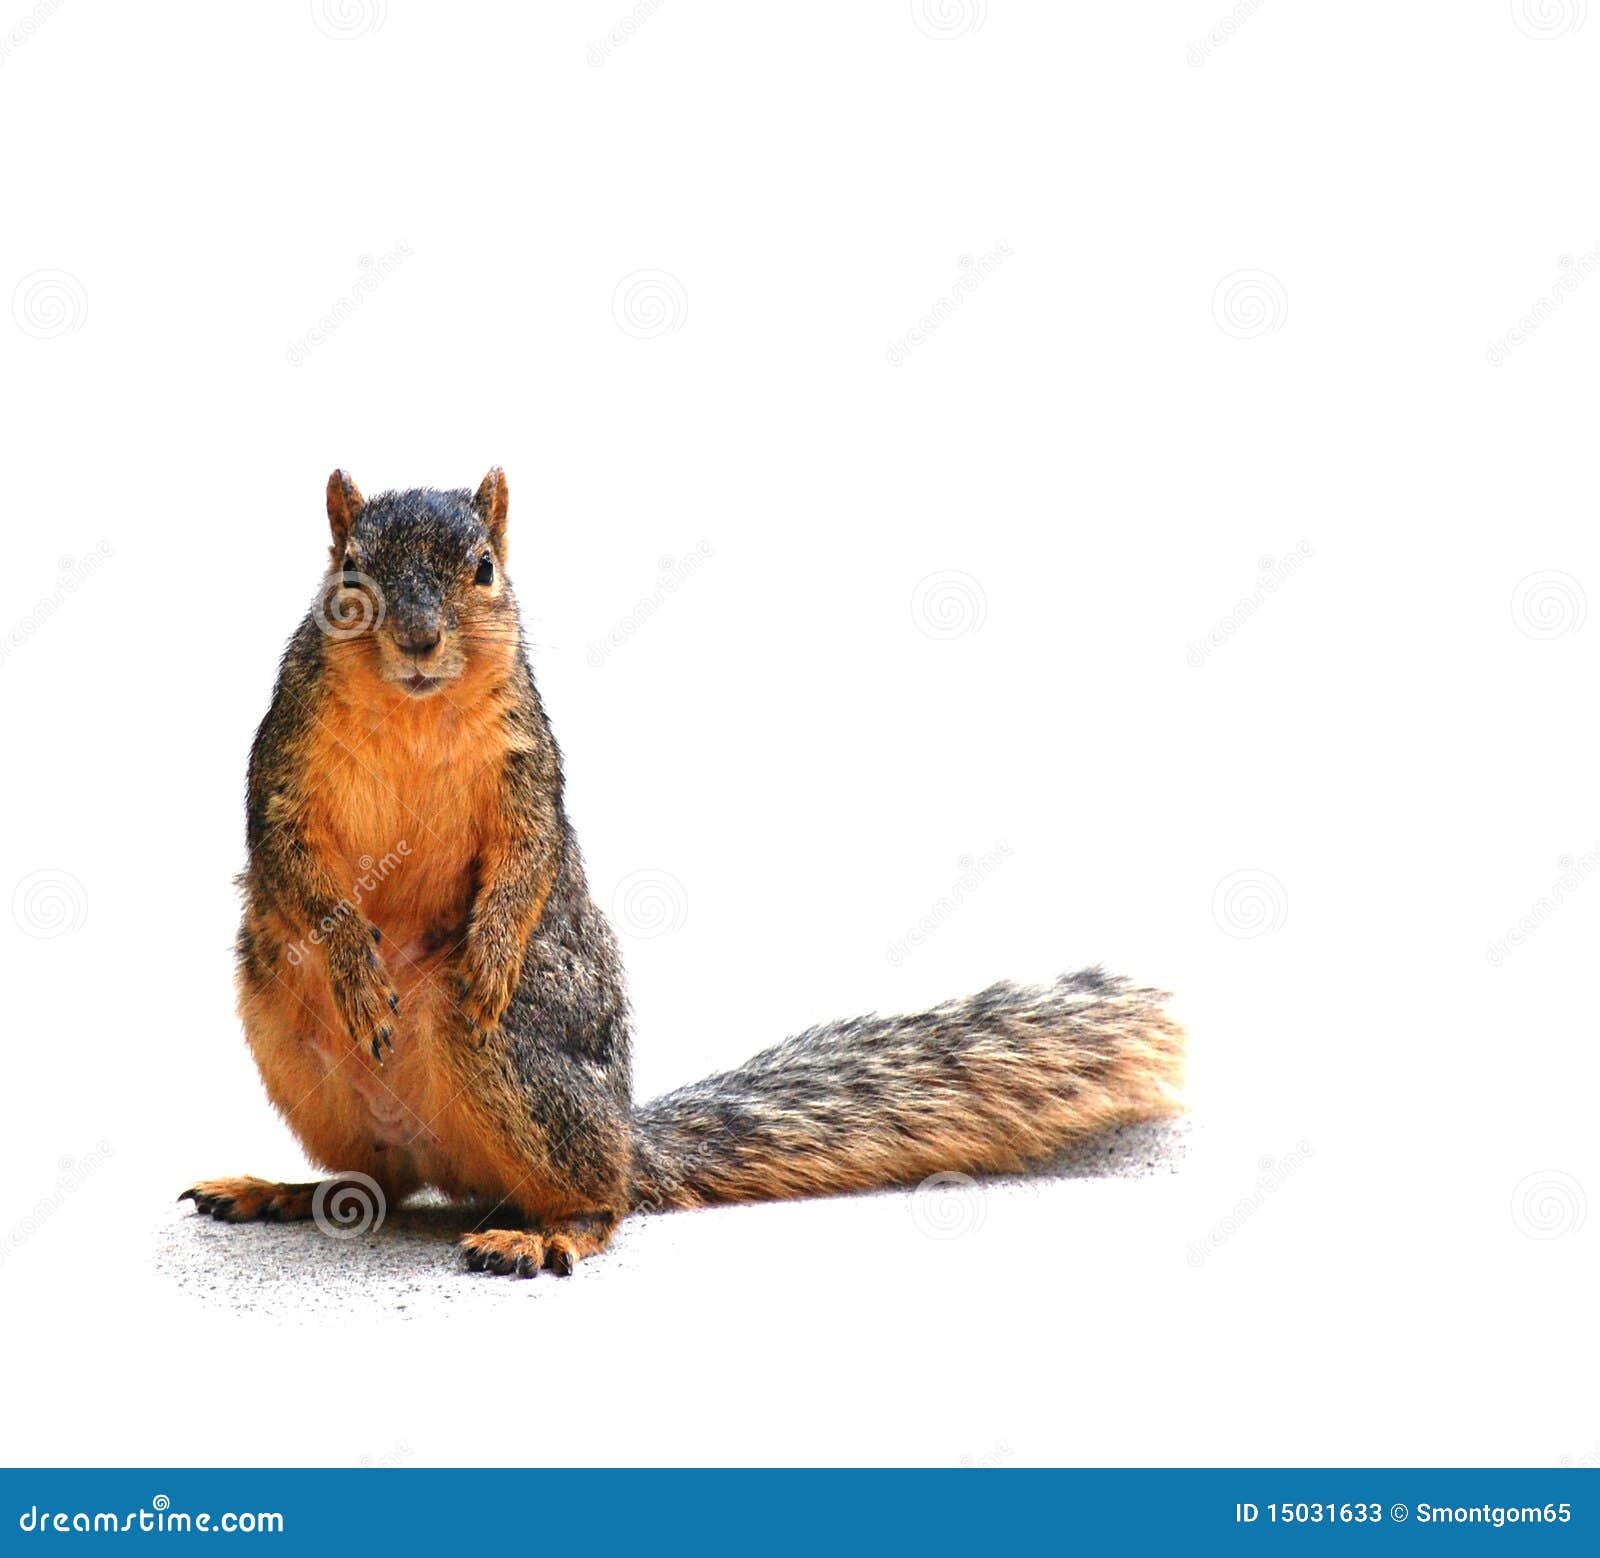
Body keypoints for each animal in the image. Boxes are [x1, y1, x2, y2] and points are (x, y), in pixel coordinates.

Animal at [180, 470, 1185, 1276]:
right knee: (376, 1186)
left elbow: (531, 856)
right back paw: (288, 1192)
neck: (413, 709)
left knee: (601, 1198)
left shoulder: (527, 765)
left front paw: (494, 949)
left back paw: (547, 1231)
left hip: (514, 1058)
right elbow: (289, 859)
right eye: (351, 570)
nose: (421, 641)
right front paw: (356, 964)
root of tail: (628, 1137)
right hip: (282, 1021)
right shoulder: (282, 760)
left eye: (484, 569)